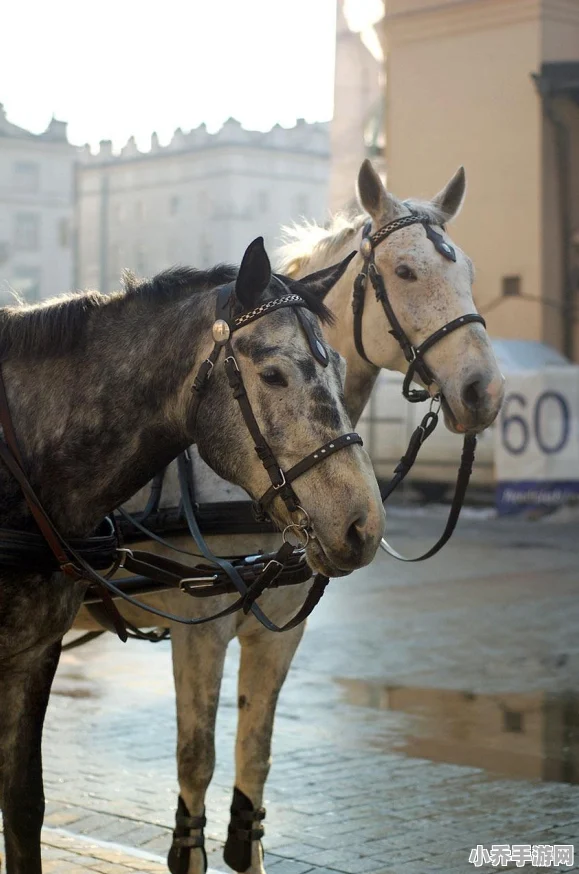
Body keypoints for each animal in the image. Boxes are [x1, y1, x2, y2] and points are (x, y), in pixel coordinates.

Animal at [72, 160, 506, 868]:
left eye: (467, 270)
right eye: (406, 271)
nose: (483, 391)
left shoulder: (278, 633)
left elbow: (255, 758)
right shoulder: (198, 631)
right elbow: (197, 762)